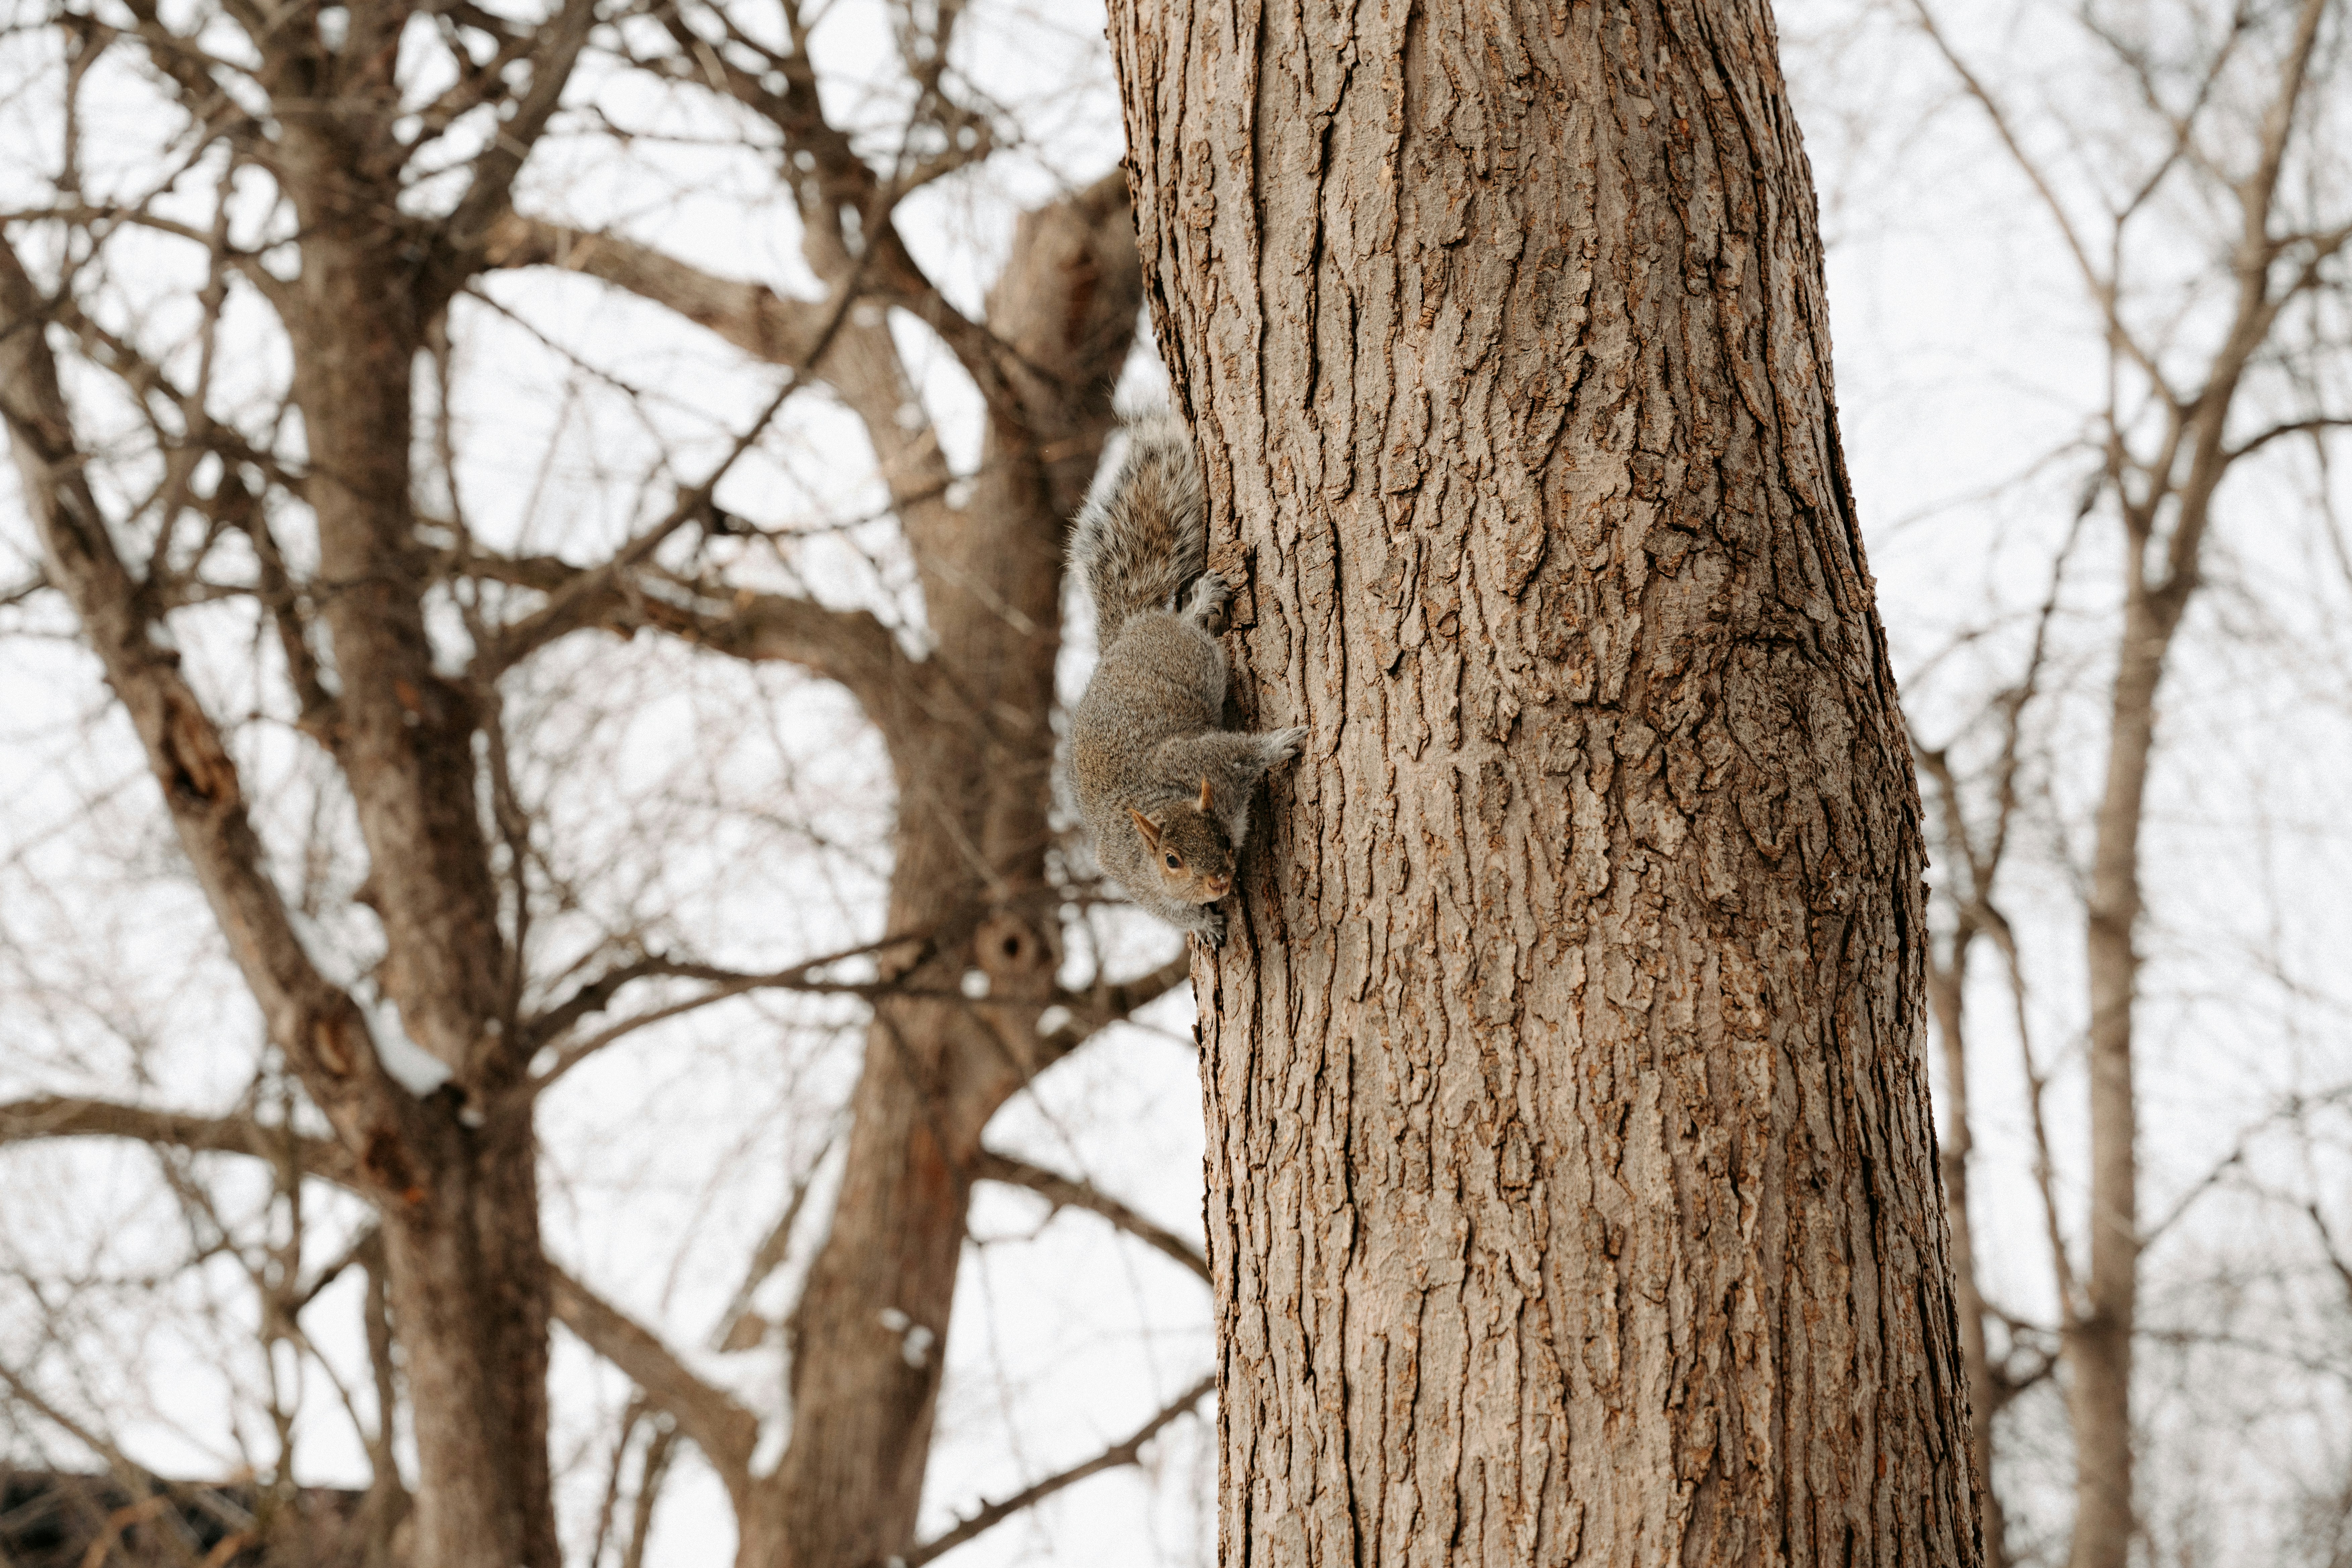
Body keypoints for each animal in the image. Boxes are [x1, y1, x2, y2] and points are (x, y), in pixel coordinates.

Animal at [1065, 414, 1306, 948]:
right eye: (1171, 861)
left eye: (1216, 832)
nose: (1218, 881)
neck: (1162, 801)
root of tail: (1125, 635)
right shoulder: (1132, 876)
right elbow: (1164, 908)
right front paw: (1201, 924)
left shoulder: (1205, 760)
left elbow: (1242, 750)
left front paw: (1279, 743)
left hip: (1193, 656)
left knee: (1190, 627)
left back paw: (1200, 603)